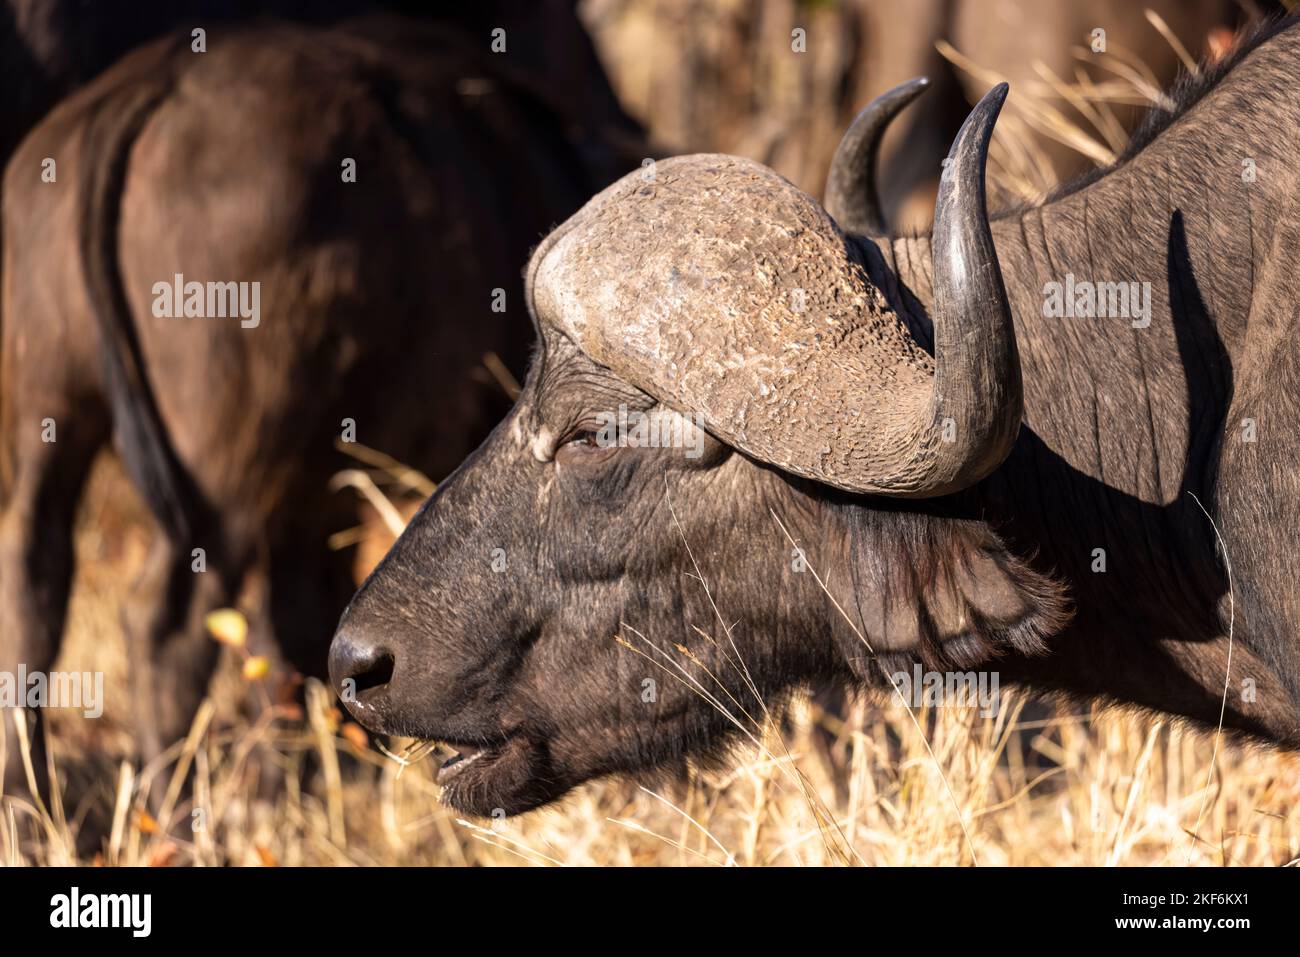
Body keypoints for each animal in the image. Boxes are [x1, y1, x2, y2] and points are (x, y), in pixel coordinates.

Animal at [0, 14, 639, 798]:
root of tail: (148, 86)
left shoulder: (317, 501)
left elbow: (299, 629)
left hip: (50, 424)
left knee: (31, 581)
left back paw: (28, 800)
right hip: (225, 475)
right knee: (168, 619)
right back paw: (172, 802)